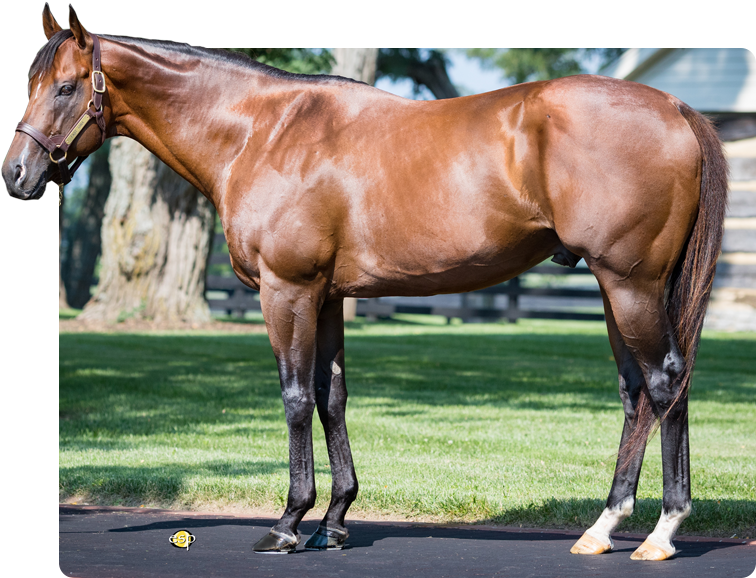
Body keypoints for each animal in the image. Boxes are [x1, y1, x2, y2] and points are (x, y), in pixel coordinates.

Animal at [11, 6, 727, 560]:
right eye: (32, 82)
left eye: (67, 88)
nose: (15, 173)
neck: (263, 132)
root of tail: (673, 107)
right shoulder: (327, 297)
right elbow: (333, 399)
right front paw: (333, 522)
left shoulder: (287, 290)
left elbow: (296, 397)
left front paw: (287, 523)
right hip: (618, 289)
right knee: (637, 393)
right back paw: (602, 528)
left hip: (631, 284)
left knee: (665, 380)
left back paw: (661, 533)